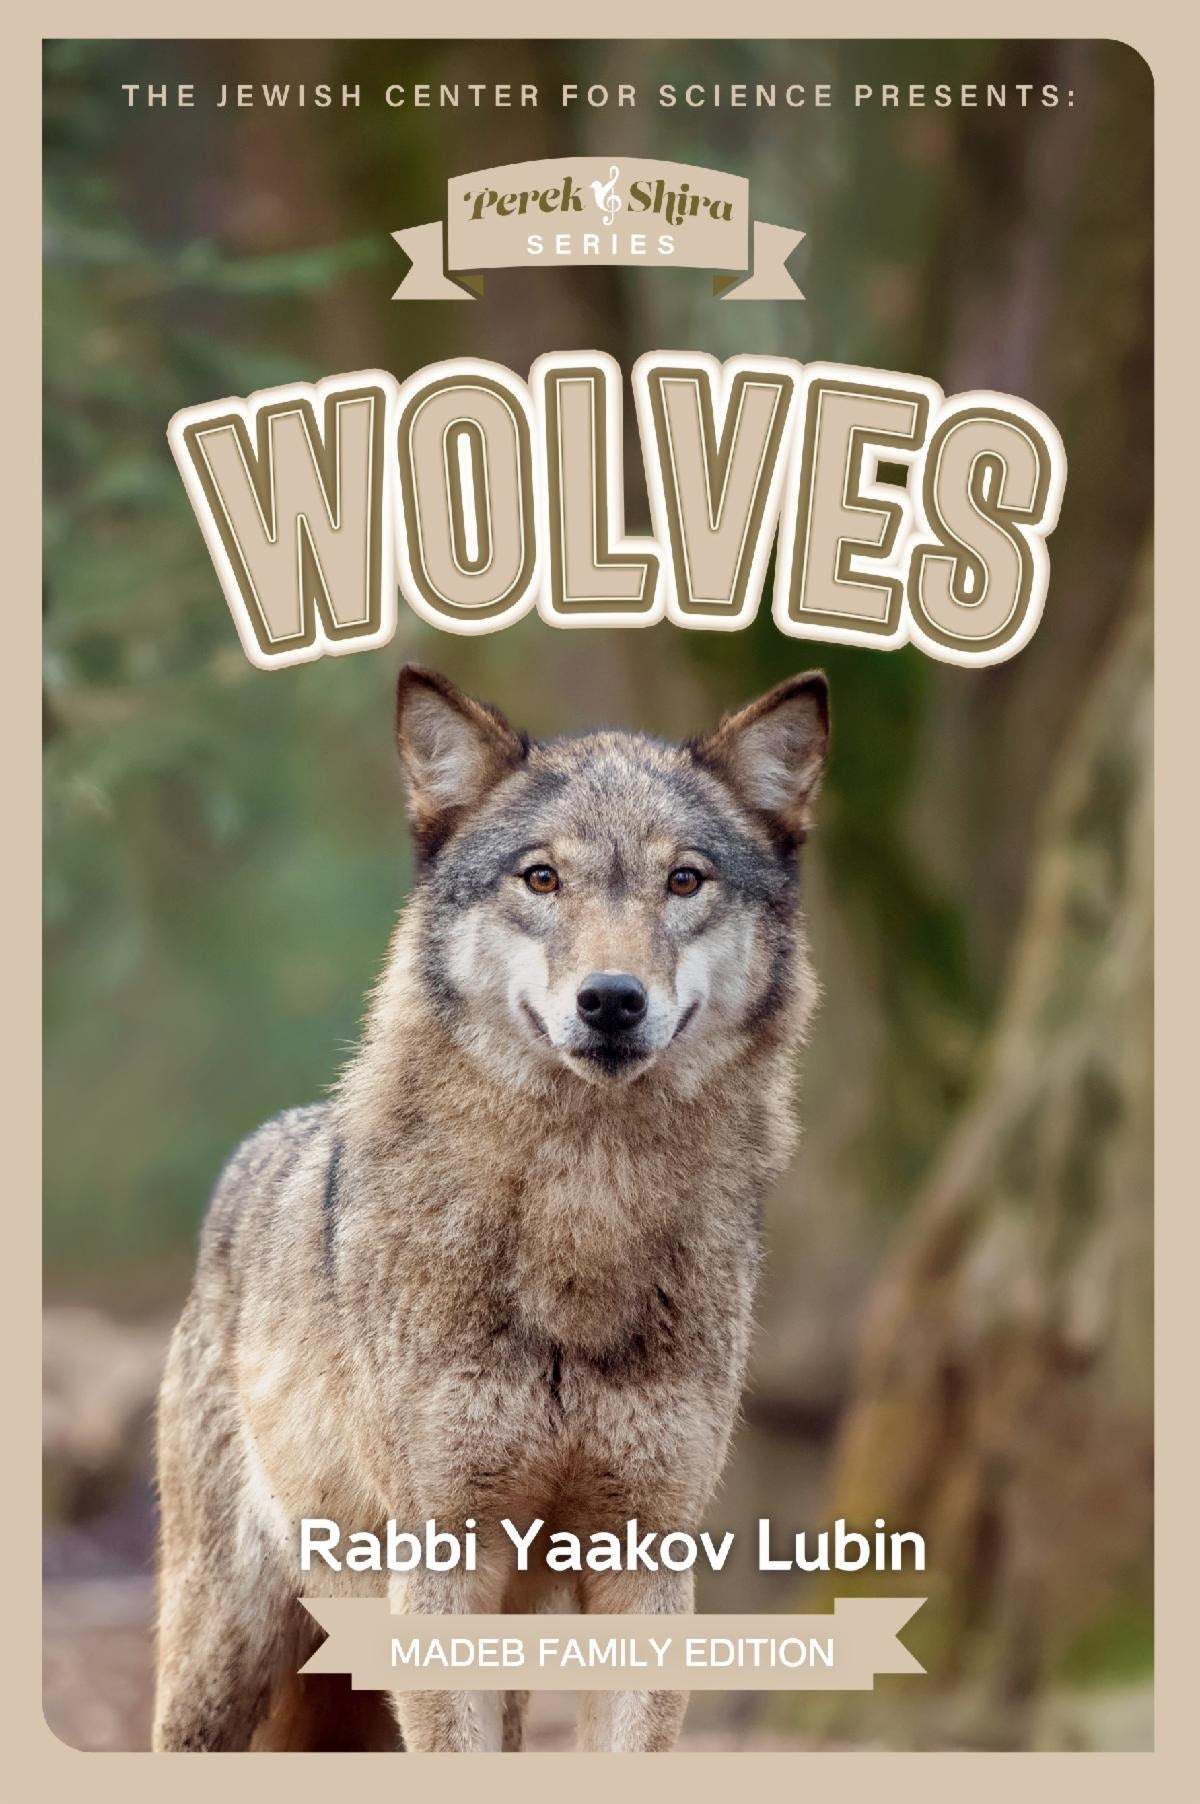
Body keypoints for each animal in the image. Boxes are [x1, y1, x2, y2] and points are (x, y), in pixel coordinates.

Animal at [153, 663, 829, 1753]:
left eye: (684, 881)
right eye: (540, 878)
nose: (611, 999)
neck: (583, 1209)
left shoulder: (644, 1562)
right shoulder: (445, 1563)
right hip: (222, 1660)